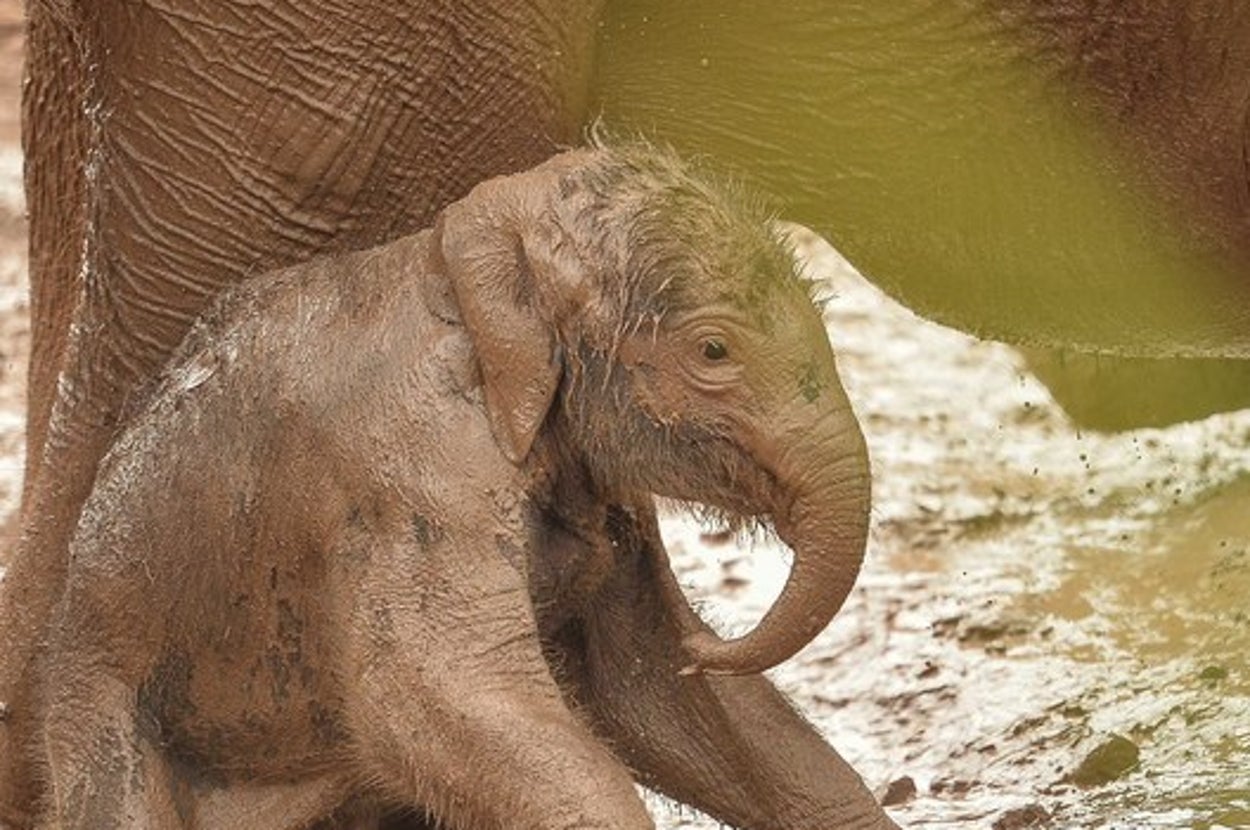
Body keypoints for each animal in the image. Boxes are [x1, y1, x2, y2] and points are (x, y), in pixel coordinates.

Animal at [31, 145, 887, 829]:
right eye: (714, 349)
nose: (711, 643)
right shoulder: (406, 471)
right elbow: (430, 699)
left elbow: (651, 688)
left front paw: (680, 665)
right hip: (97, 706)